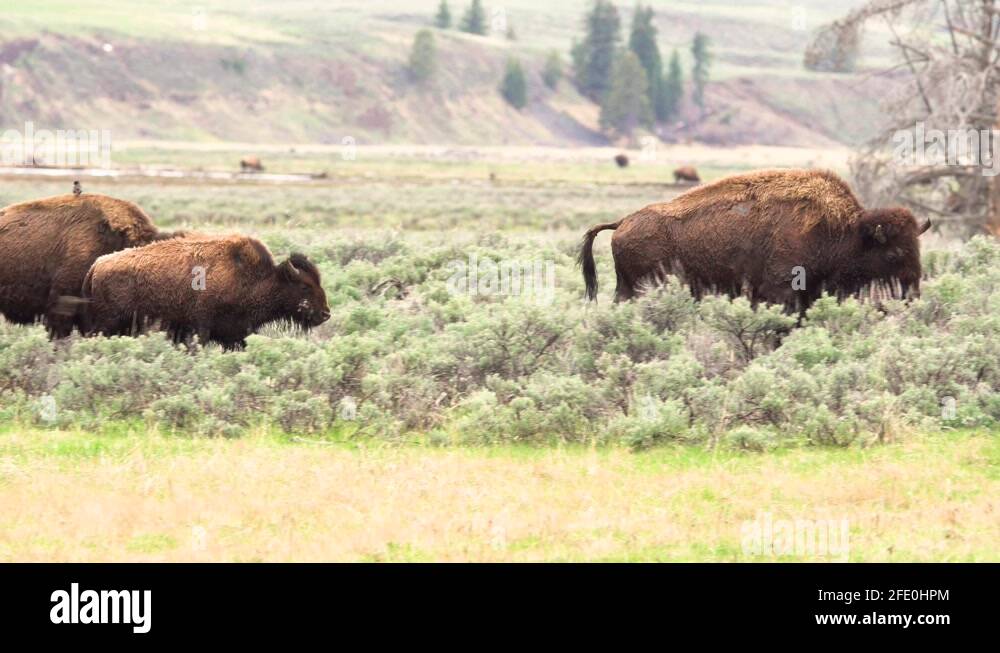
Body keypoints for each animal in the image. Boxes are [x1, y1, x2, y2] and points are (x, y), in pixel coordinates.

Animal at [82, 235, 330, 349]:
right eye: (305, 285)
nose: (326, 313)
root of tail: (97, 264)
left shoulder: (235, 335)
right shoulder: (201, 328)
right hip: (108, 323)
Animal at [579, 168, 931, 310]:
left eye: (917, 247)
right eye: (894, 253)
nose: (912, 292)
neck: (846, 231)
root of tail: (623, 221)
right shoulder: (781, 290)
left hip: (626, 287)